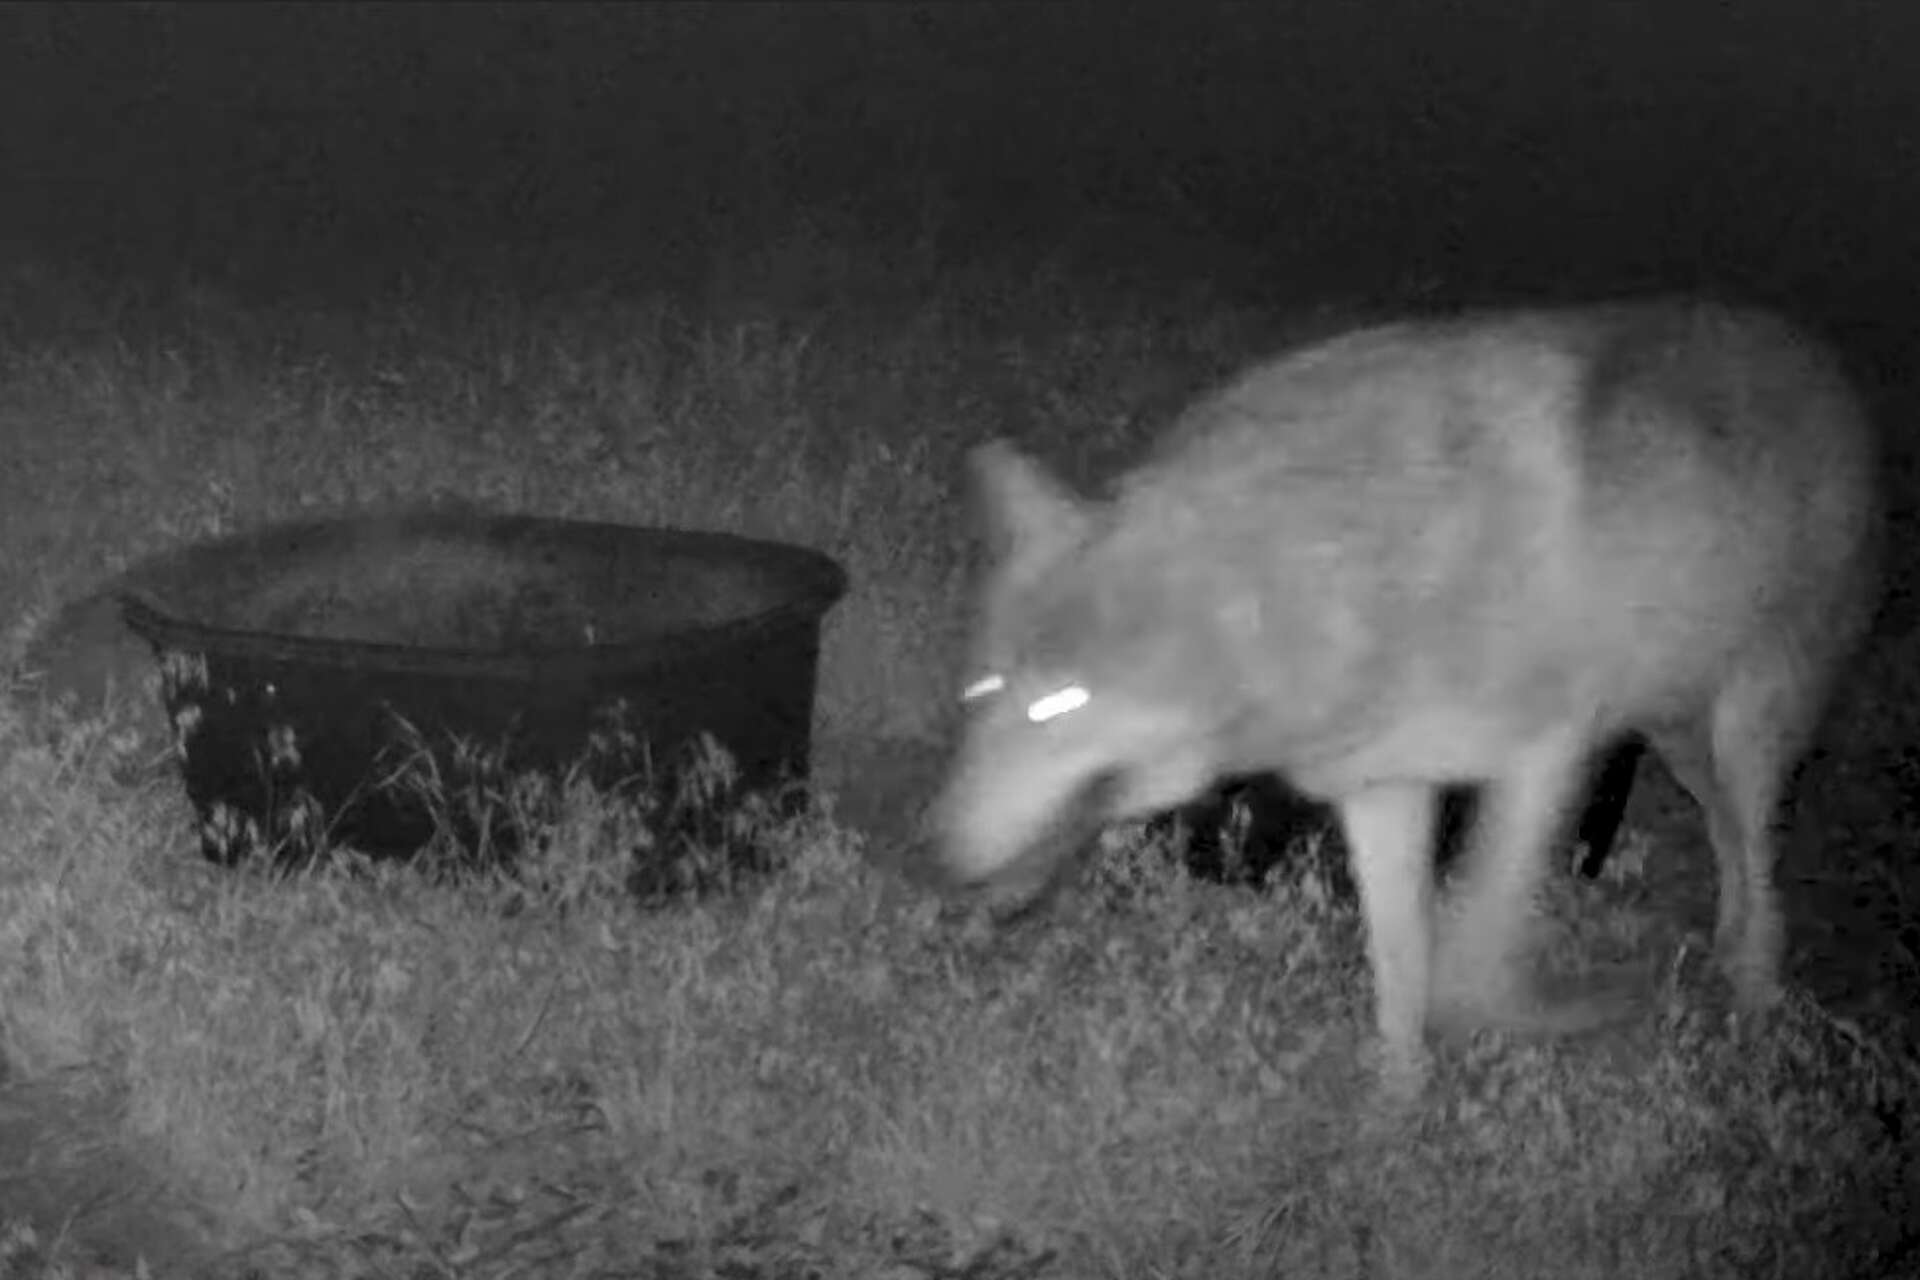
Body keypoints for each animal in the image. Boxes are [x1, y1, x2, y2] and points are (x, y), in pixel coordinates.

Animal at [933, 299, 1880, 1091]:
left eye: (1061, 706)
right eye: (983, 690)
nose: (928, 848)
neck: (1350, 577)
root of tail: (1824, 360)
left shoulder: (1546, 755)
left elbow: (1472, 948)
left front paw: (1538, 1022)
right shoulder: (1383, 789)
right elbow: (1401, 969)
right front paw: (1395, 1110)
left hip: (1745, 731)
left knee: (1758, 854)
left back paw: (1754, 999)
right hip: (1679, 736)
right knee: (1732, 849)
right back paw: (1728, 954)